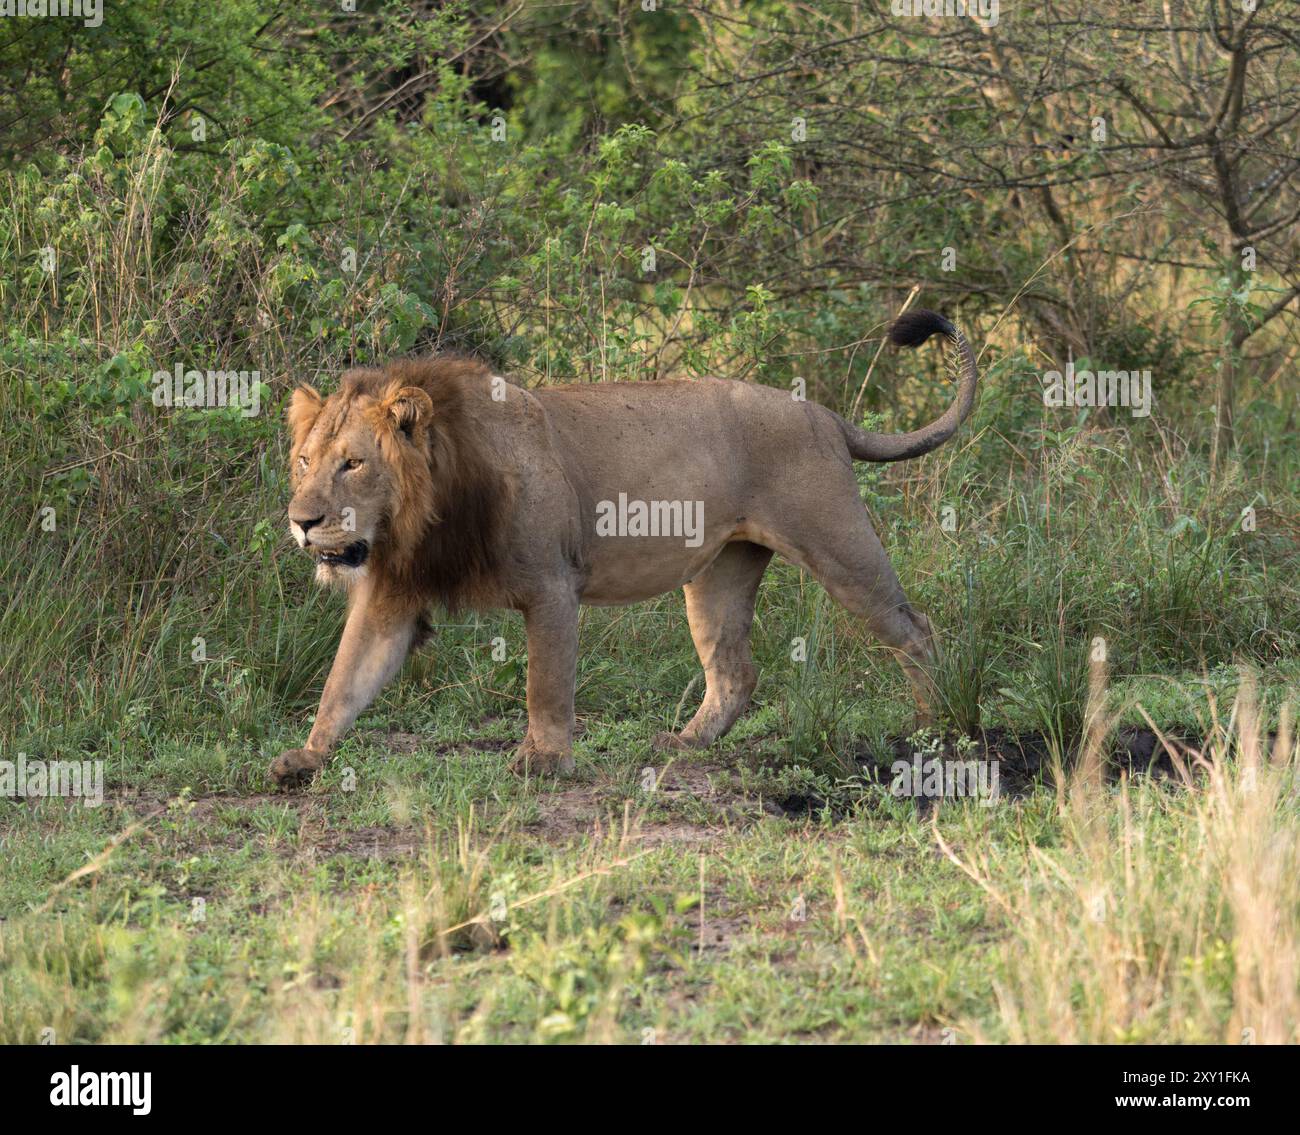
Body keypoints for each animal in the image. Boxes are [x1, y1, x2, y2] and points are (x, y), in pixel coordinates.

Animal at [270, 310, 978, 787]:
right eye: (305, 461)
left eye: (353, 464)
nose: (302, 521)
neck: (425, 514)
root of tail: (825, 414)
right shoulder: (391, 593)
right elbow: (344, 680)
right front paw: (305, 757)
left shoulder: (552, 585)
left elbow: (546, 684)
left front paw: (544, 760)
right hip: (719, 574)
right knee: (735, 671)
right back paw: (686, 745)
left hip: (837, 546)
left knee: (915, 628)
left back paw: (939, 726)